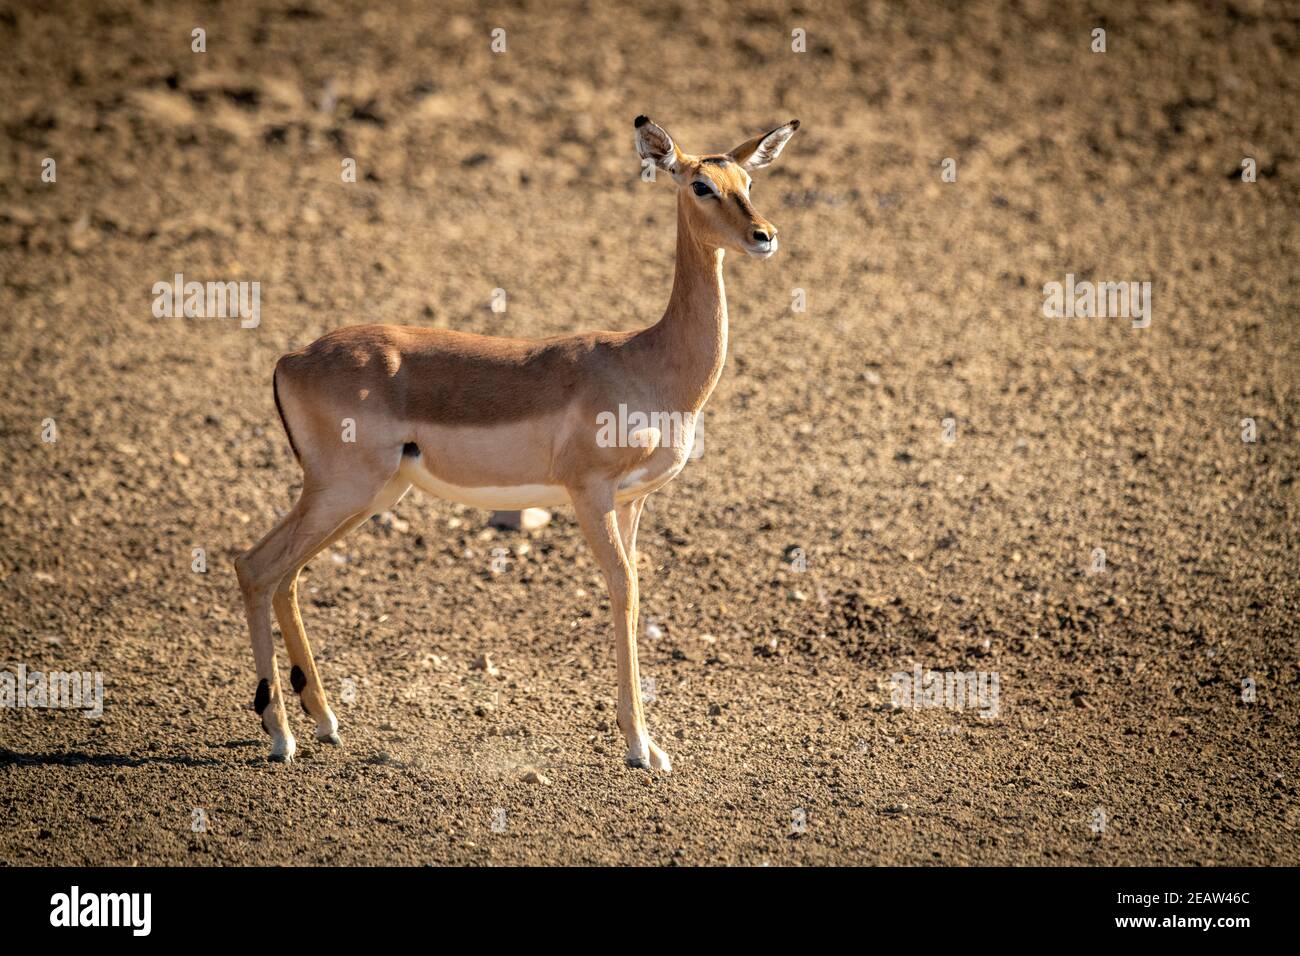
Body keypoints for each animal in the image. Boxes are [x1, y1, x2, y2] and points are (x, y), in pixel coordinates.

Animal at [235, 115, 800, 770]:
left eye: (747, 181)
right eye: (700, 185)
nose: (764, 235)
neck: (650, 361)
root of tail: (290, 359)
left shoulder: (633, 500)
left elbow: (633, 588)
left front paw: (646, 741)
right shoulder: (589, 492)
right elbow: (624, 590)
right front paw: (640, 746)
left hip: (366, 496)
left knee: (285, 575)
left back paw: (324, 721)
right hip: (343, 490)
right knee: (256, 567)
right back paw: (281, 735)